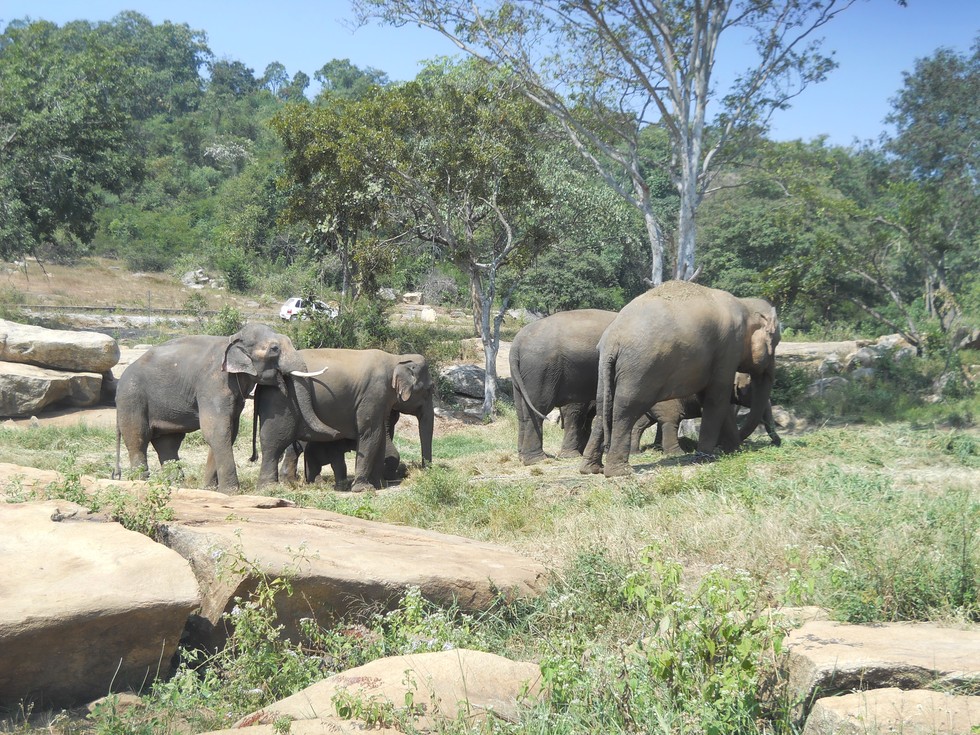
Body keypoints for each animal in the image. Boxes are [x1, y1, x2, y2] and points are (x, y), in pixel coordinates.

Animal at [114, 323, 340, 492]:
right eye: (274, 349)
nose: (337, 433)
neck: (232, 338)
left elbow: (229, 431)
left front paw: (209, 488)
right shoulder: (213, 383)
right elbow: (217, 429)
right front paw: (231, 491)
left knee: (168, 443)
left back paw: (175, 483)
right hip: (131, 398)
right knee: (138, 438)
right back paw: (142, 482)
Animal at [255, 348, 434, 492]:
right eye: (430, 389)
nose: (426, 473)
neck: (396, 358)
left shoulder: (382, 402)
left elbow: (380, 436)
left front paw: (380, 485)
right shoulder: (373, 395)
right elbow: (370, 434)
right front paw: (363, 488)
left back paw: (289, 483)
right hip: (282, 402)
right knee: (274, 442)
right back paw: (270, 488)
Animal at [509, 309, 617, 465]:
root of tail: (516, 345)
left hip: (522, 376)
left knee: (521, 411)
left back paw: (522, 456)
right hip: (542, 369)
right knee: (538, 408)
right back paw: (536, 460)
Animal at [580, 281, 780, 477]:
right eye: (776, 342)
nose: (777, 443)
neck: (745, 304)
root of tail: (613, 340)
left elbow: (711, 399)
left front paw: (733, 451)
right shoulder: (729, 347)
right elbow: (716, 399)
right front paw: (706, 457)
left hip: (606, 368)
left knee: (604, 406)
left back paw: (592, 469)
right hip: (639, 368)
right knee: (626, 409)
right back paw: (619, 472)